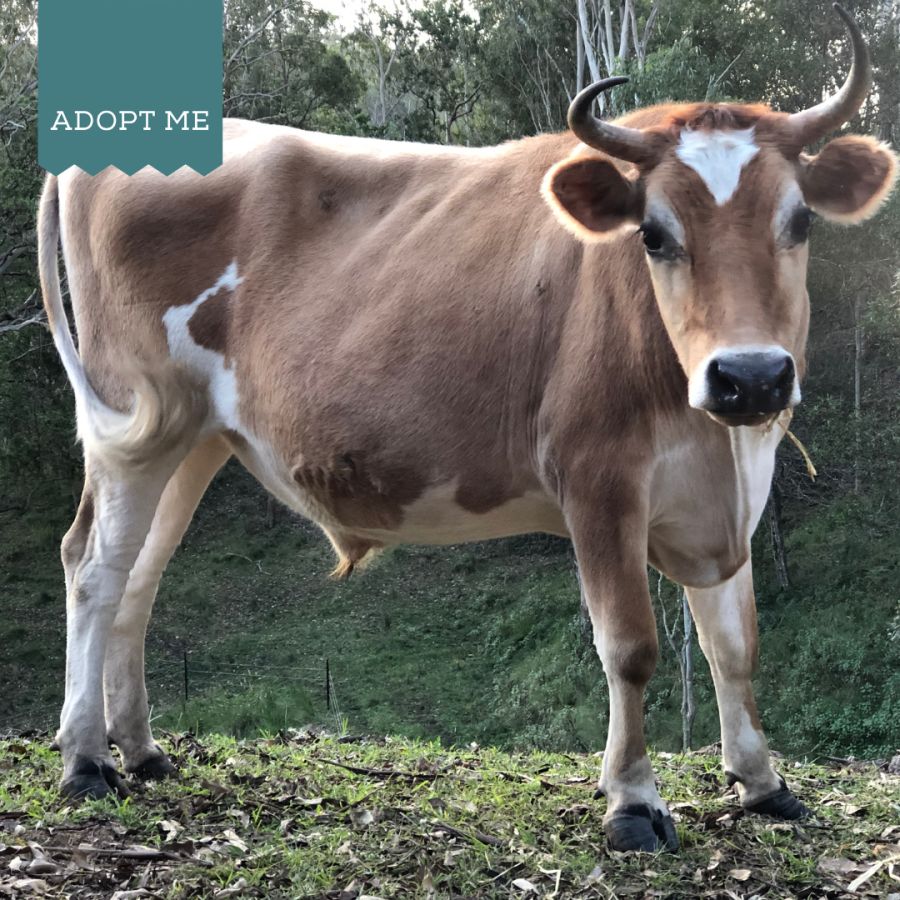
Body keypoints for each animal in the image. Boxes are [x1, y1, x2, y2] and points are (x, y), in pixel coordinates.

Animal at [37, 4, 895, 851]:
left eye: (799, 221)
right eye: (653, 233)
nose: (750, 375)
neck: (714, 442)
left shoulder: (732, 487)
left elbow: (735, 644)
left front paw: (762, 783)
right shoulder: (598, 478)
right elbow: (630, 646)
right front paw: (632, 800)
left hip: (195, 437)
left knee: (140, 577)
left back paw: (141, 749)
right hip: (137, 421)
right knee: (93, 567)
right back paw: (84, 759)